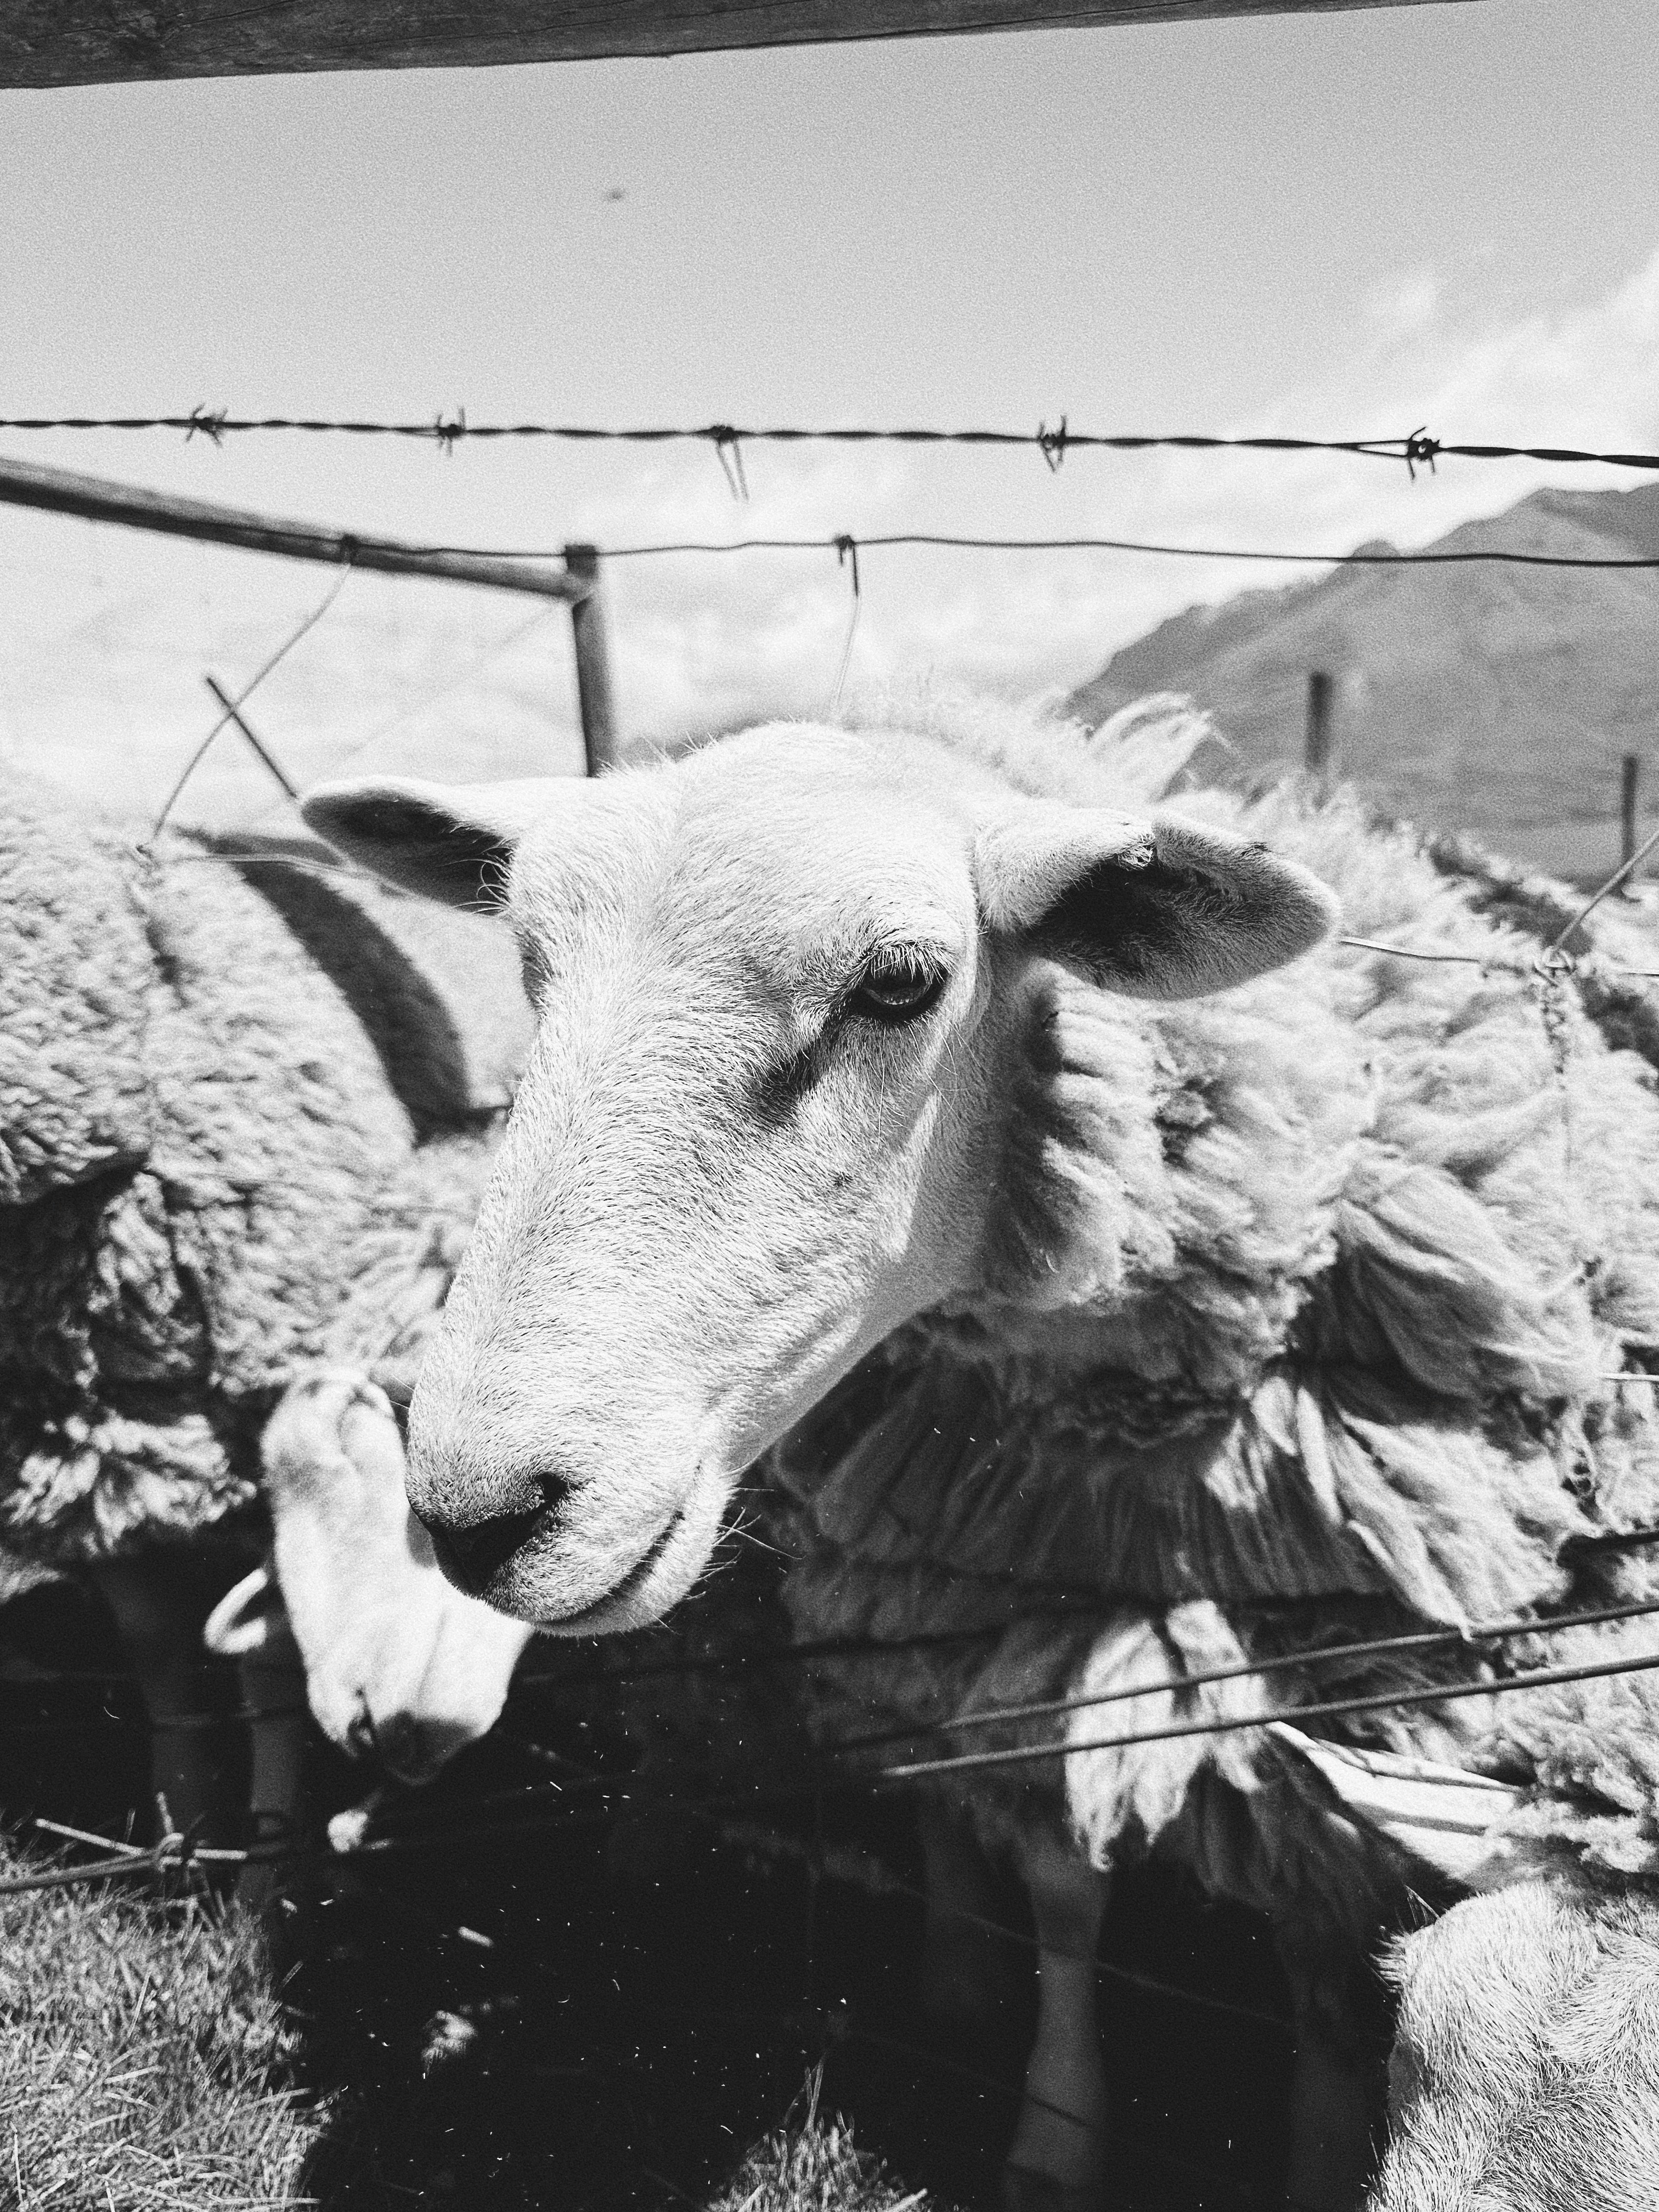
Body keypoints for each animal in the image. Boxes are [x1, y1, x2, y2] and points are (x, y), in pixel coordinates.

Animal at [0, 775, 532, 1860]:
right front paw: (188, 1828)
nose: (422, 1739)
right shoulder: (116, 1436)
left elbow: (249, 1666)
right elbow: (166, 1646)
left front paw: (249, 1842)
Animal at [301, 692, 1659, 2211]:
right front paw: (1055, 2133)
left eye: (901, 984)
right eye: (529, 970)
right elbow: (1059, 1878)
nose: (476, 1518)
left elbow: (1316, 1916)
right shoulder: (1024, 1613)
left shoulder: (1337, 1648)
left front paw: (1313, 2145)